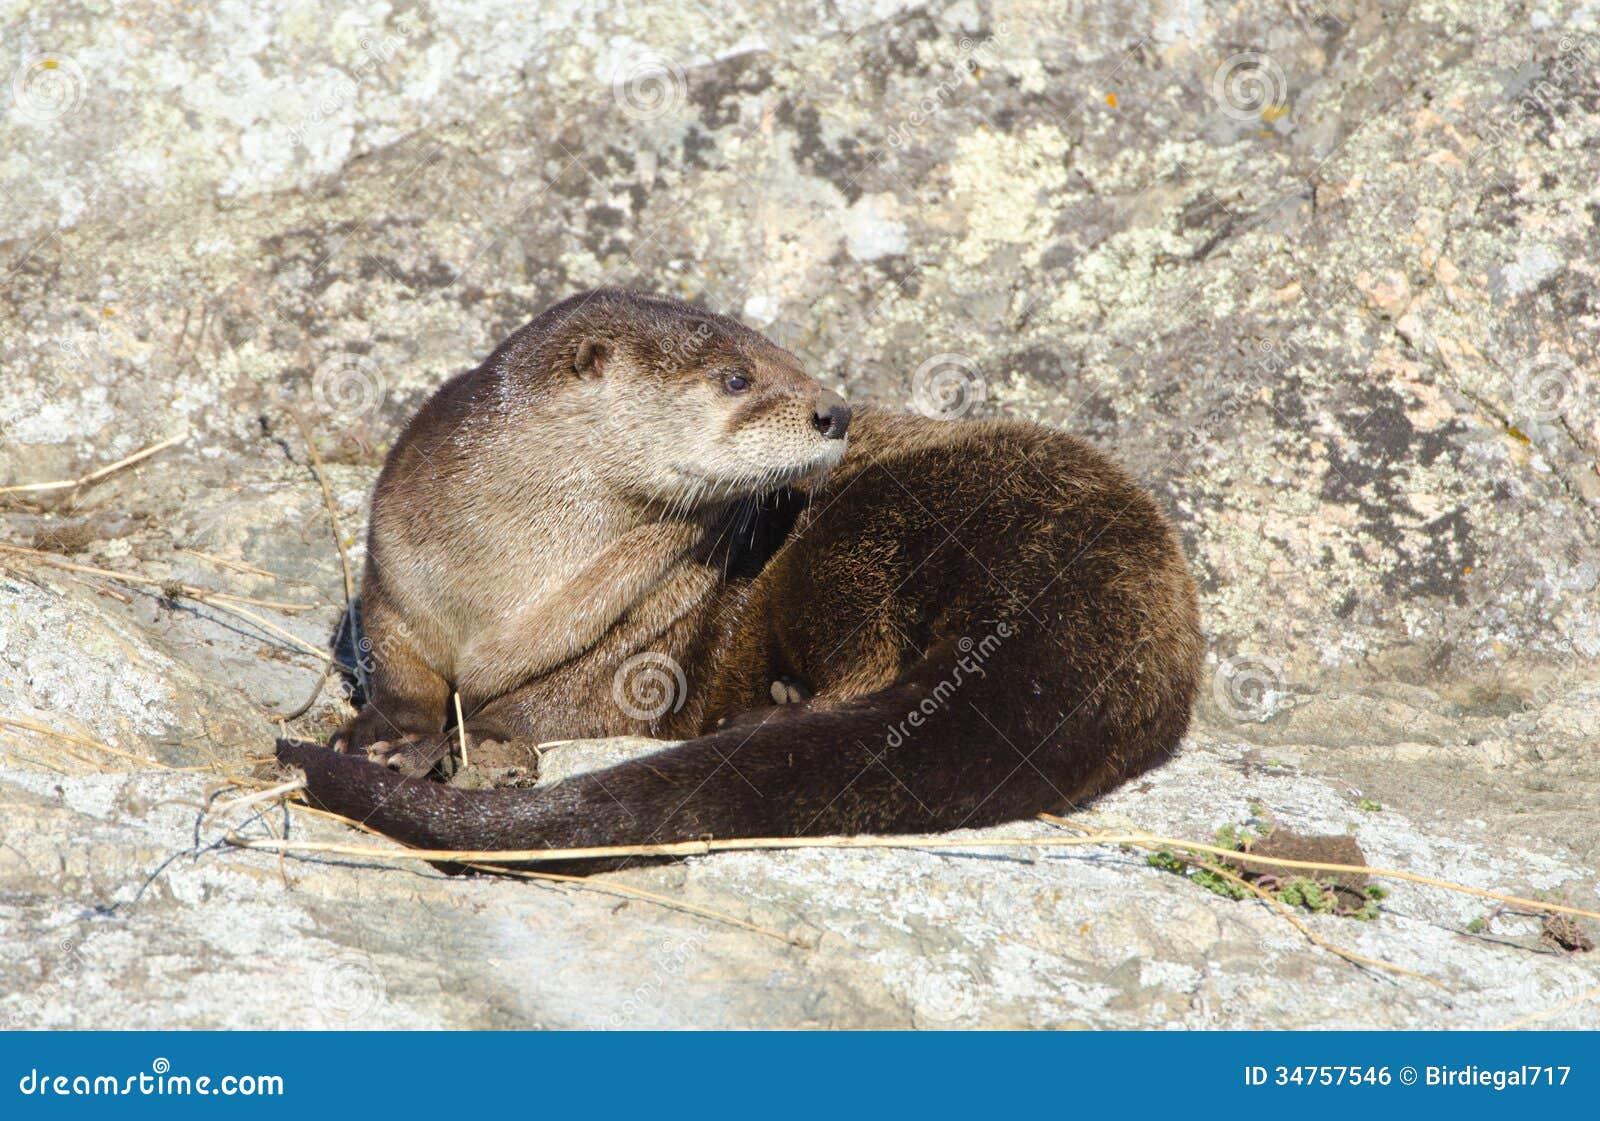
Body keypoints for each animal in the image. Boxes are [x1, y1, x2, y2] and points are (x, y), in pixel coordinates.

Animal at [277, 289, 1203, 869]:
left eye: (795, 359)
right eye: (736, 378)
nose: (836, 409)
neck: (501, 585)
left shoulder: (637, 648)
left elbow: (554, 706)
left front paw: (465, 744)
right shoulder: (397, 579)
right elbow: (401, 668)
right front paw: (384, 733)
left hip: (872, 532)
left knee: (862, 656)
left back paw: (763, 712)